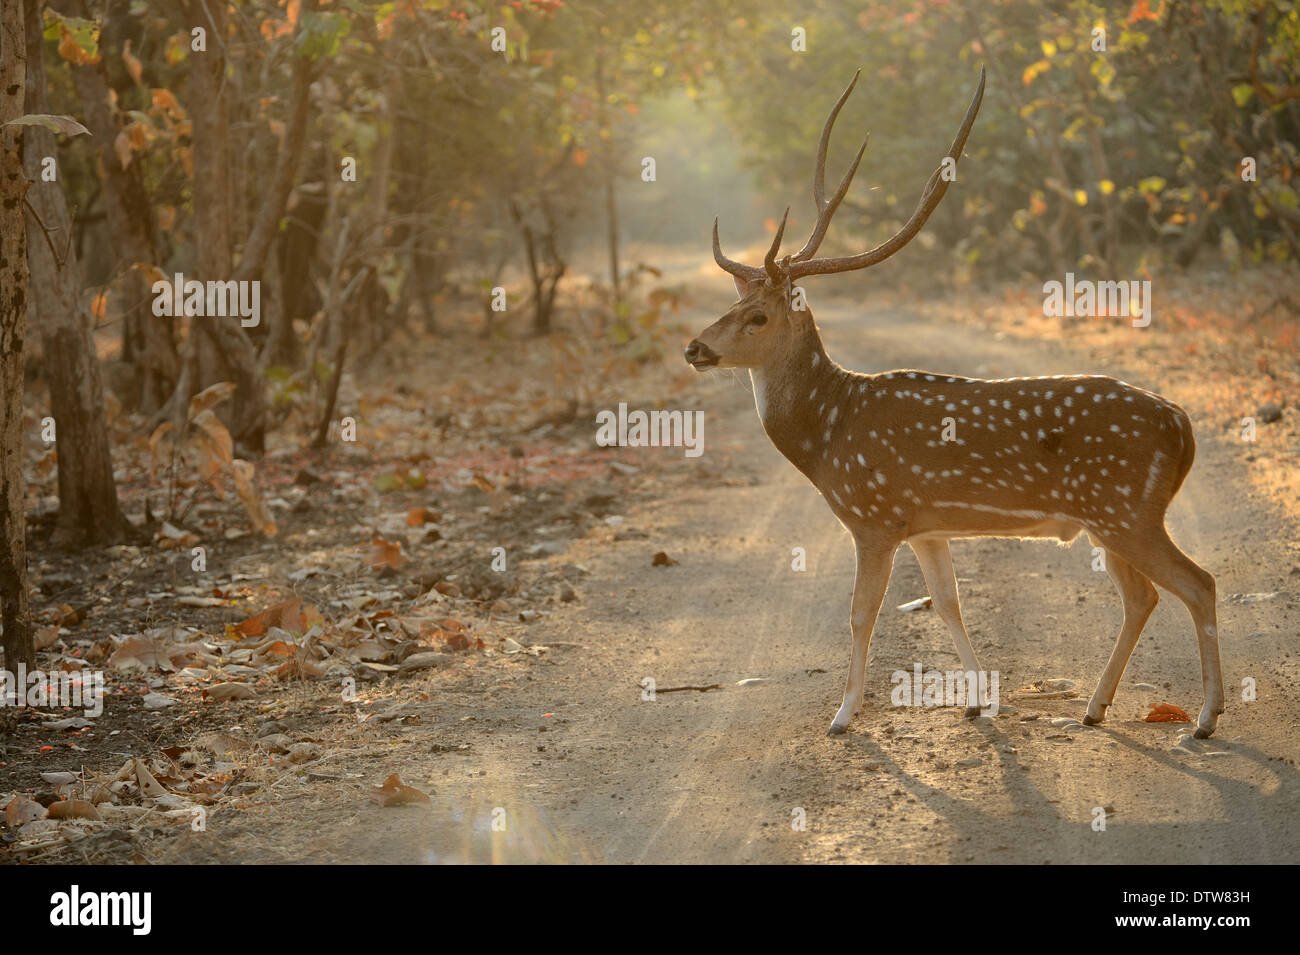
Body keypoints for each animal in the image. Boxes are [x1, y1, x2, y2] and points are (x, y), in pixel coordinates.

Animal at [684, 66, 1224, 739]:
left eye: (756, 316)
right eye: (729, 304)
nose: (695, 347)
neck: (828, 435)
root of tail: (1182, 426)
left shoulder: (875, 516)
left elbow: (861, 615)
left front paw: (842, 716)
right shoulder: (925, 524)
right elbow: (948, 604)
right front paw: (976, 701)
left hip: (1129, 509)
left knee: (1197, 583)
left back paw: (1203, 719)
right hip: (1109, 518)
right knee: (1143, 596)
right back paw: (1095, 708)